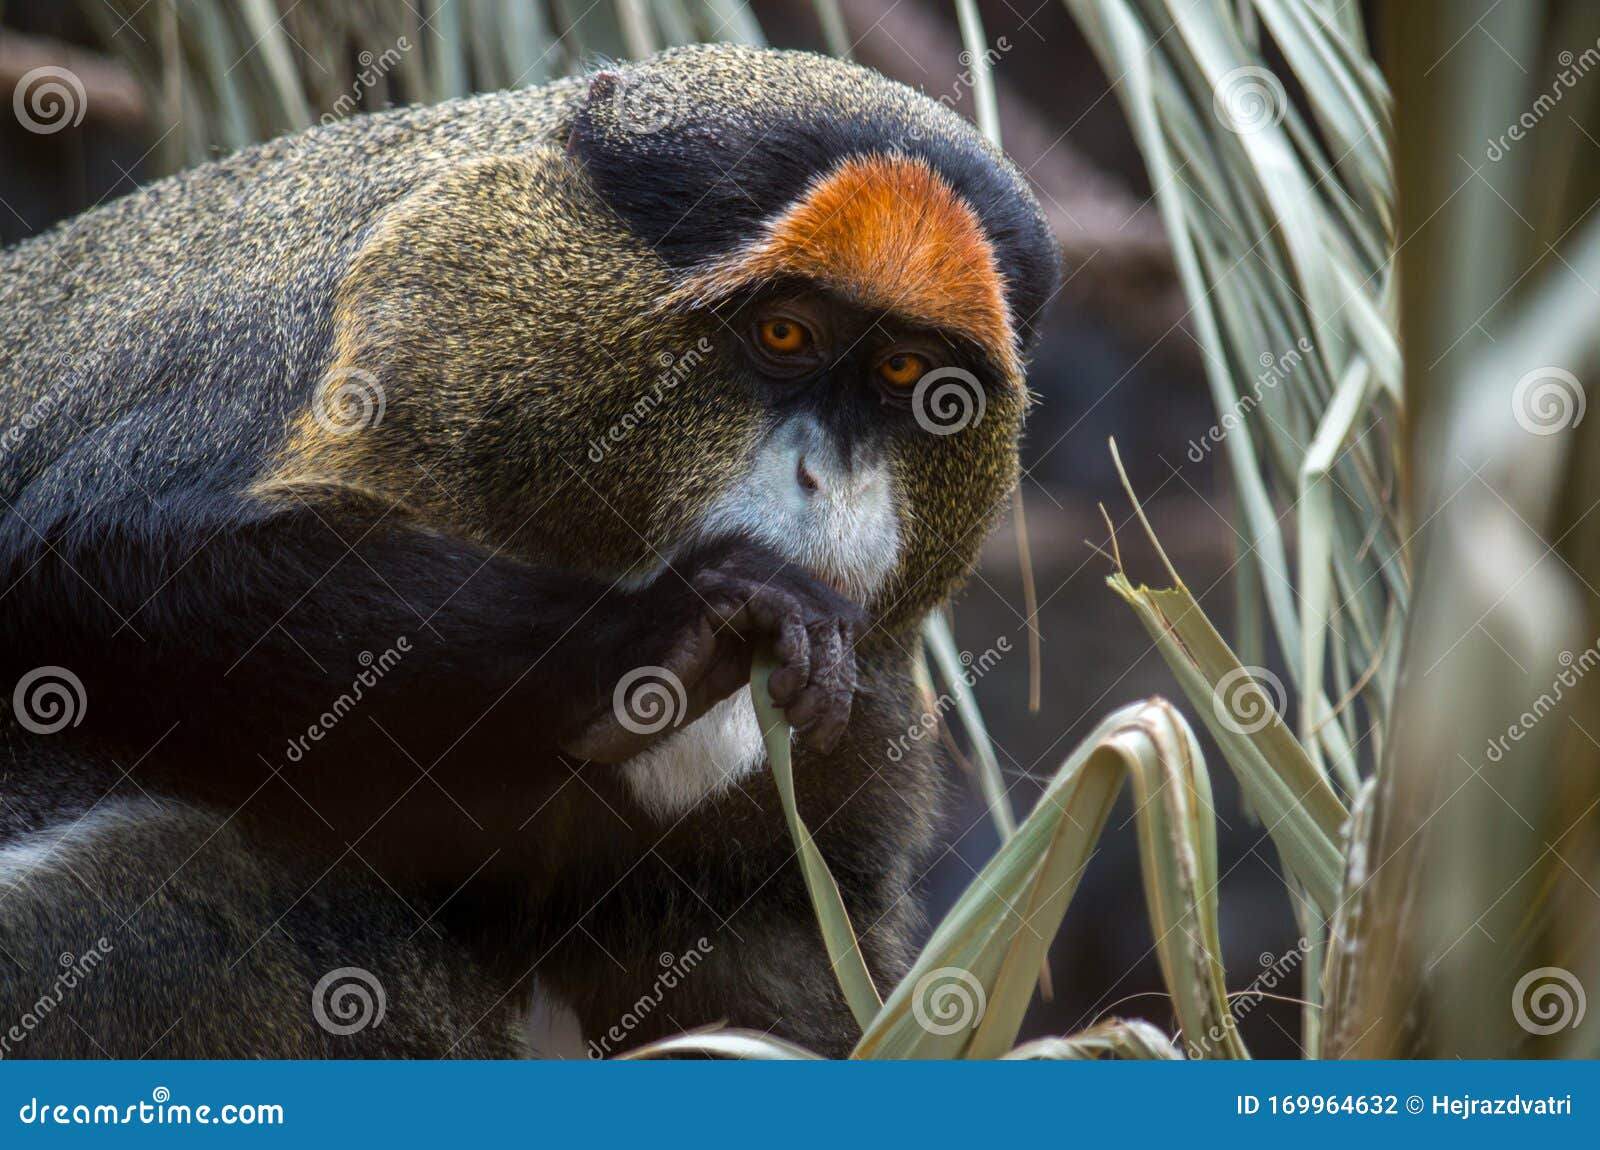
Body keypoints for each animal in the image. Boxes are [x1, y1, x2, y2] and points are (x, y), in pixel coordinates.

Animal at [0, 44, 1056, 1058]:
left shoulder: (862, 714)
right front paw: (658, 633)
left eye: (906, 371)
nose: (825, 481)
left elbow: (770, 967)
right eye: (785, 332)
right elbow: (90, 548)